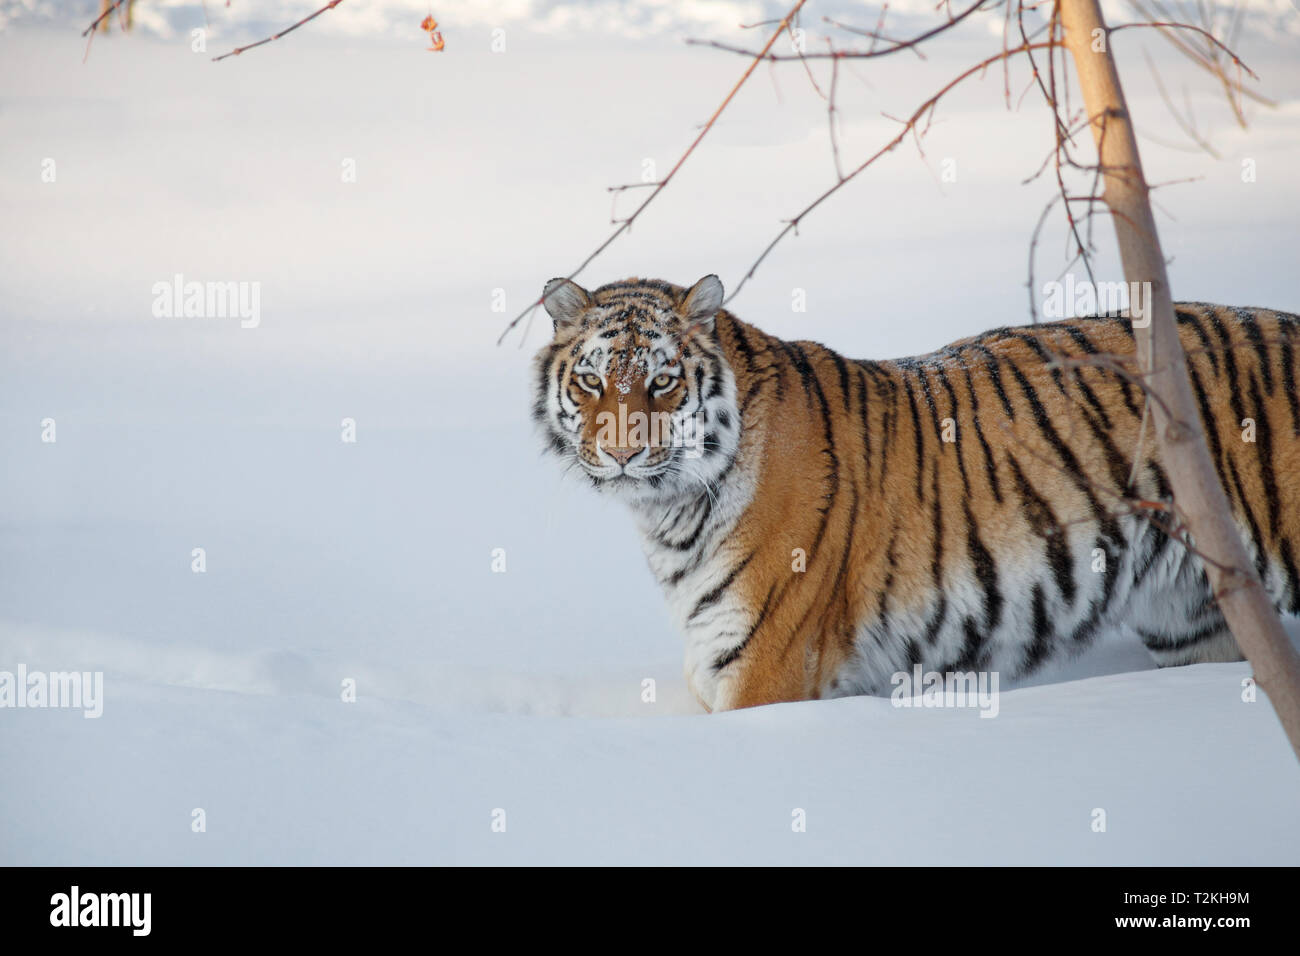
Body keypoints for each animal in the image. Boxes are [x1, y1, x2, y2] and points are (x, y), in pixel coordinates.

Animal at [531, 274, 1300, 712]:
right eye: (592, 381)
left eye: (662, 381)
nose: (623, 452)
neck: (671, 516)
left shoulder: (764, 673)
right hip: (1192, 619)